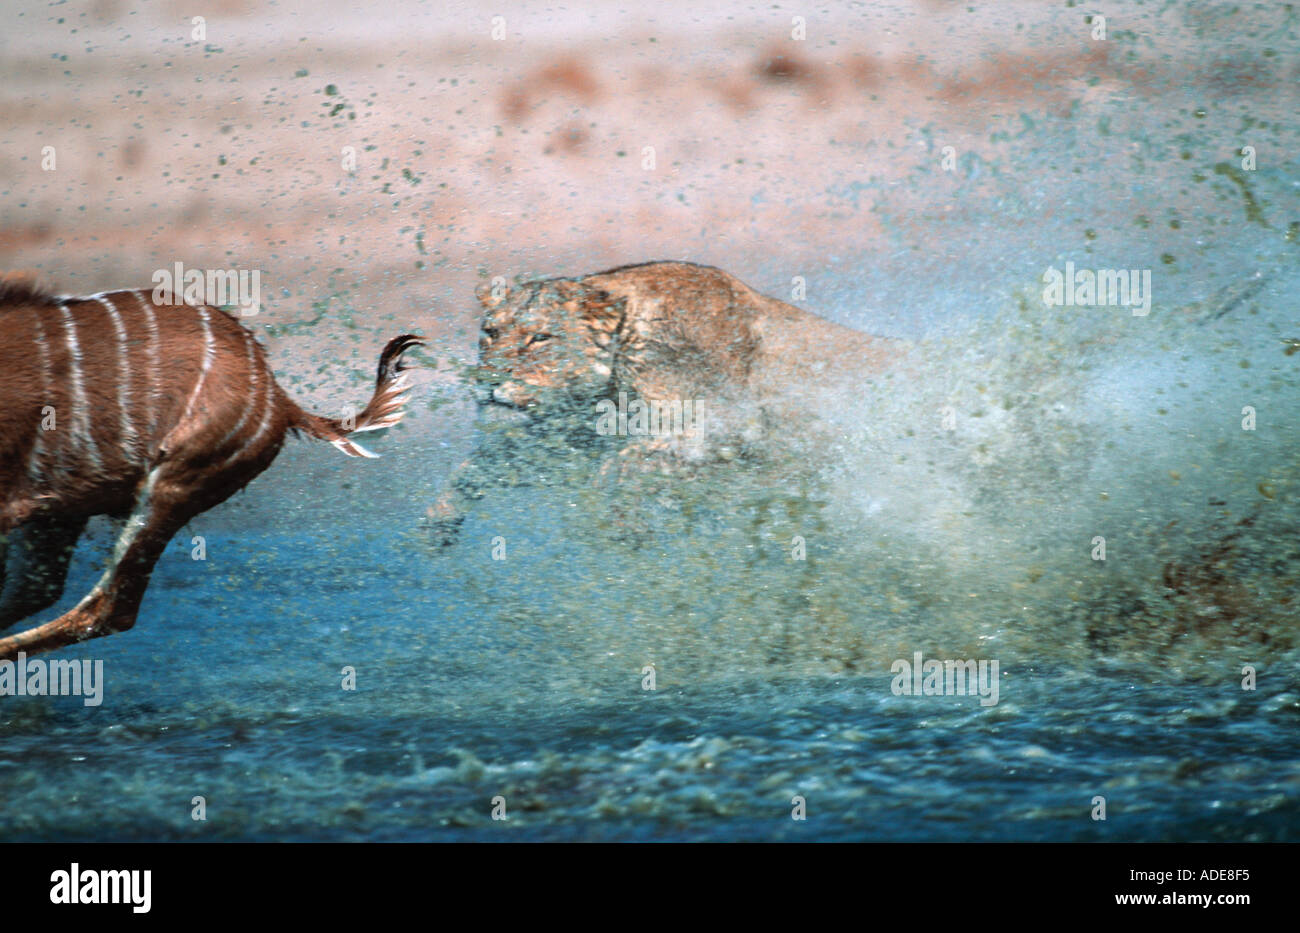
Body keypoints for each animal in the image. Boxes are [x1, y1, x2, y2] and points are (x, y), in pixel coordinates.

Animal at [428, 260, 902, 544]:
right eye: (491, 332)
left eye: (540, 337)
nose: (487, 381)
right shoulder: (573, 444)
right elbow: (484, 462)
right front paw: (437, 522)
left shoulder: (733, 427)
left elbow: (628, 462)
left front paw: (616, 522)